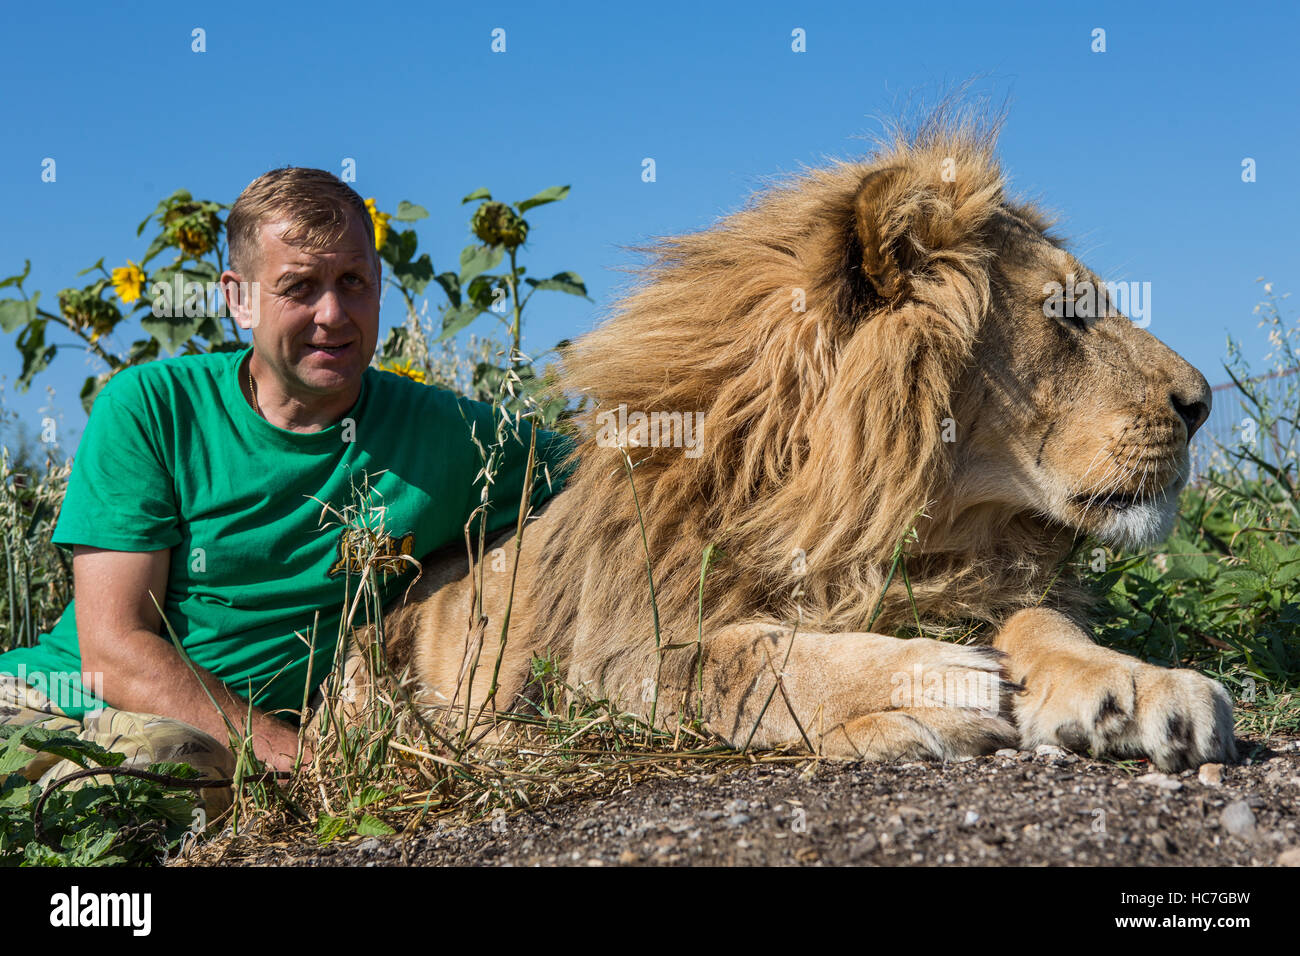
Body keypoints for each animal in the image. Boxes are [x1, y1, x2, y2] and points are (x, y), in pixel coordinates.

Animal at [372, 112, 1236, 772]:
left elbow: (1043, 622)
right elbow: (741, 659)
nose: (1201, 405)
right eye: (1067, 314)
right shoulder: (599, 664)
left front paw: (1142, 687)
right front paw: (930, 684)